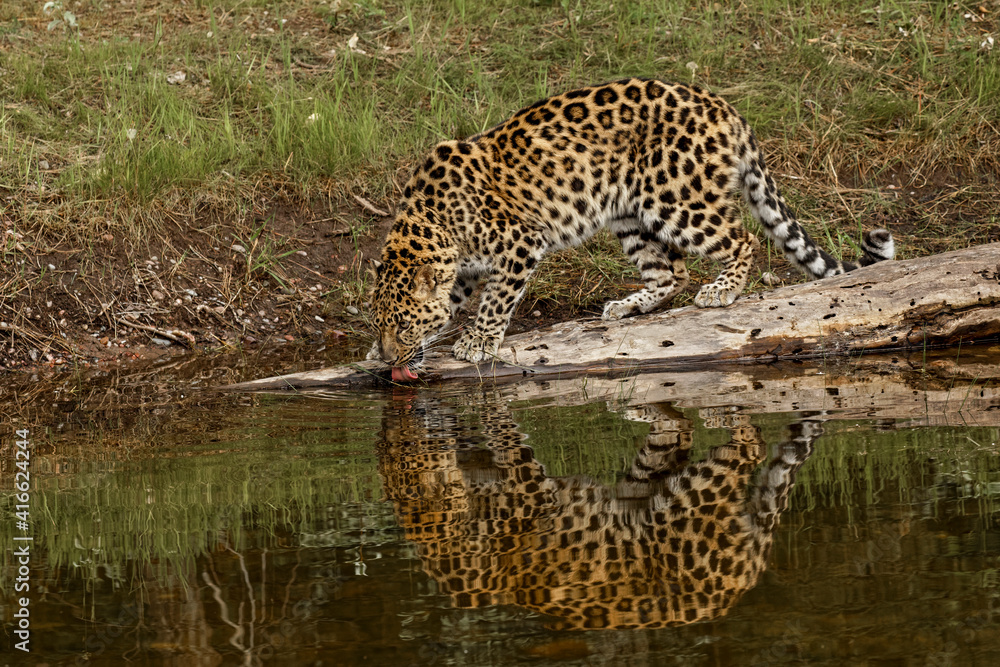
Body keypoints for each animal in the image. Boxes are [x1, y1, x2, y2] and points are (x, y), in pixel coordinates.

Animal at [367, 78, 894, 375]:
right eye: (381, 323)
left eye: (403, 324)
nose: (391, 360)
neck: (433, 222)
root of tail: (723, 106)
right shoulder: (462, 268)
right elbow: (453, 301)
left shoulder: (520, 243)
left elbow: (495, 301)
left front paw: (476, 342)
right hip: (628, 213)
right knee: (671, 273)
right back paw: (628, 305)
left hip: (676, 199)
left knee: (740, 238)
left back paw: (721, 290)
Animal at [376, 392, 821, 630]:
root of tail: (743, 578)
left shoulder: (530, 491)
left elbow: (508, 445)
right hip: (654, 494)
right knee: (680, 440)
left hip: (687, 504)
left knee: (749, 445)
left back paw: (721, 413)